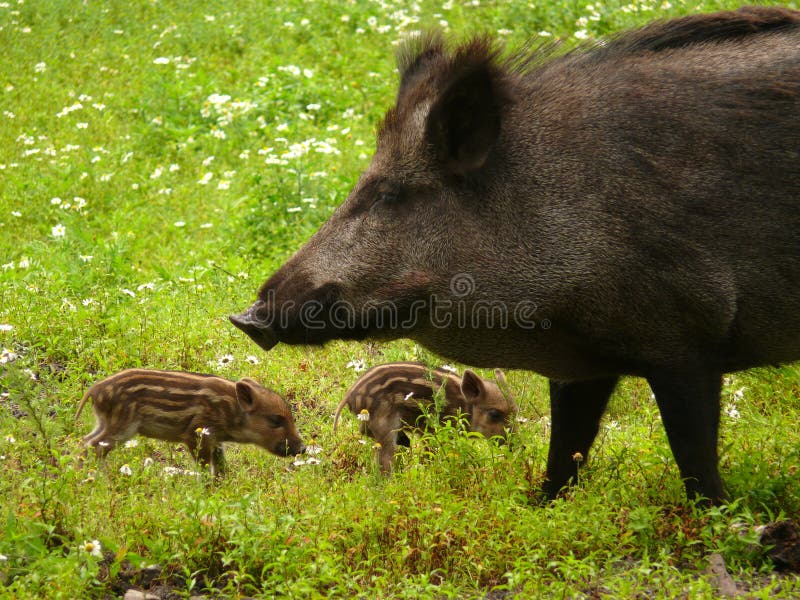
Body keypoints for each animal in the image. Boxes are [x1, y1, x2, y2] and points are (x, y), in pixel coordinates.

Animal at [75, 369, 305, 475]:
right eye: (275, 420)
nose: (302, 449)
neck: (232, 411)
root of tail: (95, 390)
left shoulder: (215, 439)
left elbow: (221, 465)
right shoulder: (195, 433)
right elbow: (204, 465)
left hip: (105, 423)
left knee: (85, 440)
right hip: (121, 425)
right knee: (92, 445)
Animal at [333, 362, 517, 472]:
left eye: (516, 412)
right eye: (494, 413)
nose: (515, 445)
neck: (463, 406)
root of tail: (351, 394)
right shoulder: (433, 429)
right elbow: (430, 451)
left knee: (365, 434)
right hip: (385, 422)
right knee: (384, 458)